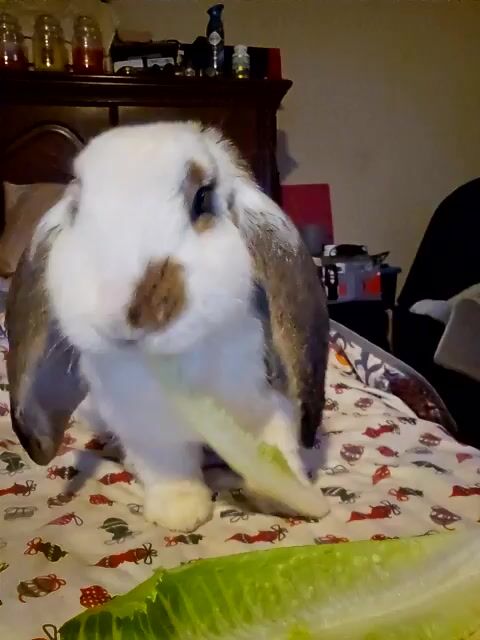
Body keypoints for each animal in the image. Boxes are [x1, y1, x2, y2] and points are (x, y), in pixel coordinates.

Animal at [6, 121, 330, 532]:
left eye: (203, 199)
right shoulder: (147, 428)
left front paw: (285, 497)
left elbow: (278, 445)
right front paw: (180, 513)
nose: (125, 313)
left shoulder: (267, 406)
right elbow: (169, 468)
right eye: (76, 209)